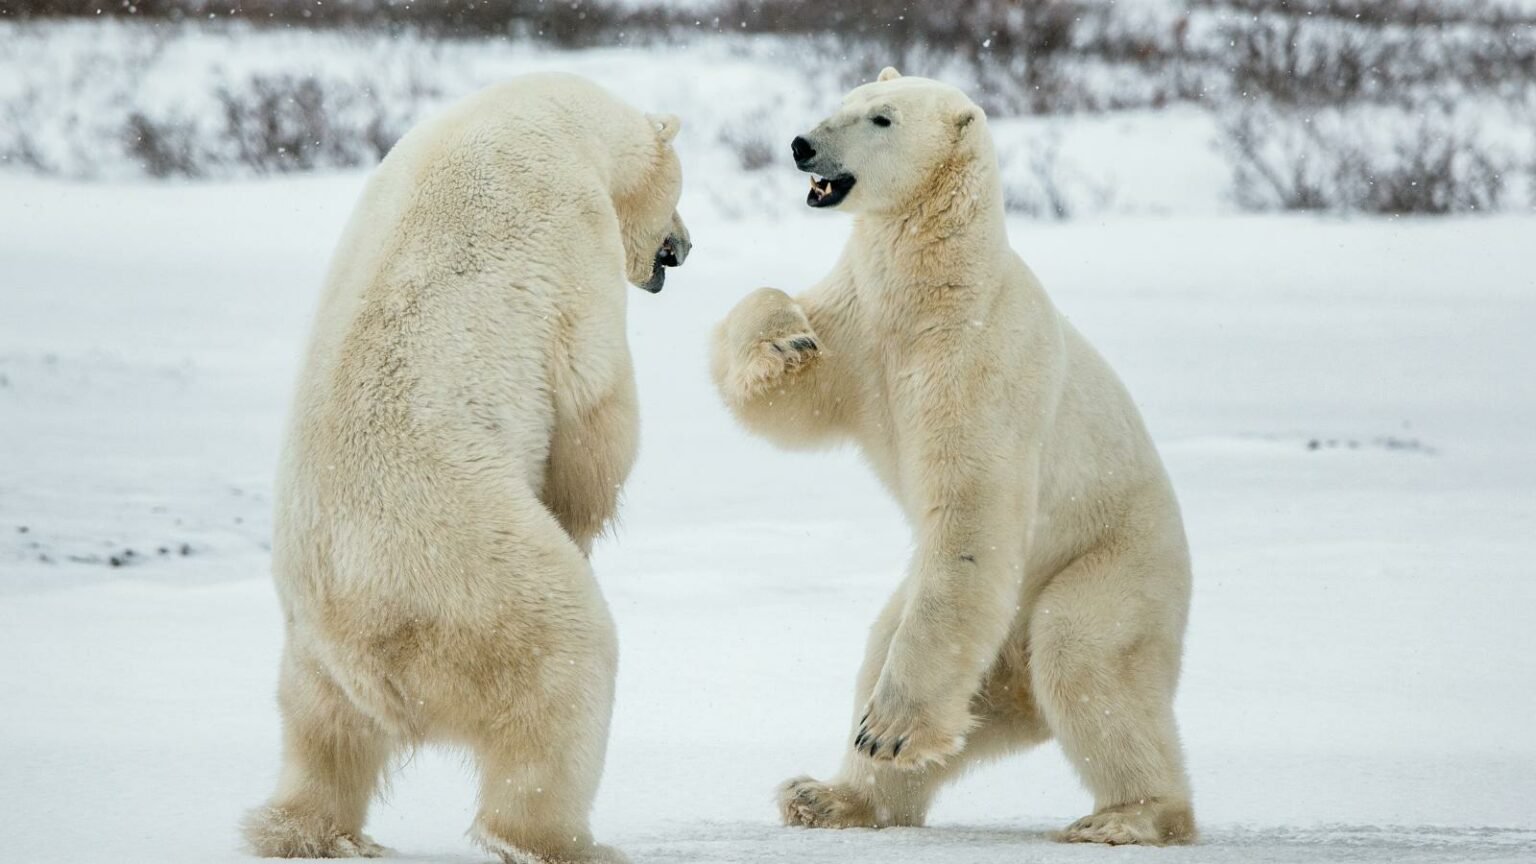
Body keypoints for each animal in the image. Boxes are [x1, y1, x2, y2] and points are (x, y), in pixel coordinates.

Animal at [242, 73, 689, 864]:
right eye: (679, 196)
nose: (686, 248)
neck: (553, 115)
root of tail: (365, 650)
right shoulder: (571, 227)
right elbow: (594, 399)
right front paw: (583, 519)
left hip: (311, 653)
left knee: (321, 737)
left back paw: (308, 830)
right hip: (475, 578)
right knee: (566, 670)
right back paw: (565, 840)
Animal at [711, 67, 1196, 846]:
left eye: (880, 119)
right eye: (843, 100)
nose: (801, 144)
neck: (936, 286)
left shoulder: (976, 361)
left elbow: (972, 510)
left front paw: (889, 730)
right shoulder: (862, 323)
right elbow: (788, 395)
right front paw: (784, 338)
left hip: (1114, 559)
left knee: (1085, 655)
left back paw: (1125, 815)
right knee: (887, 647)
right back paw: (830, 794)